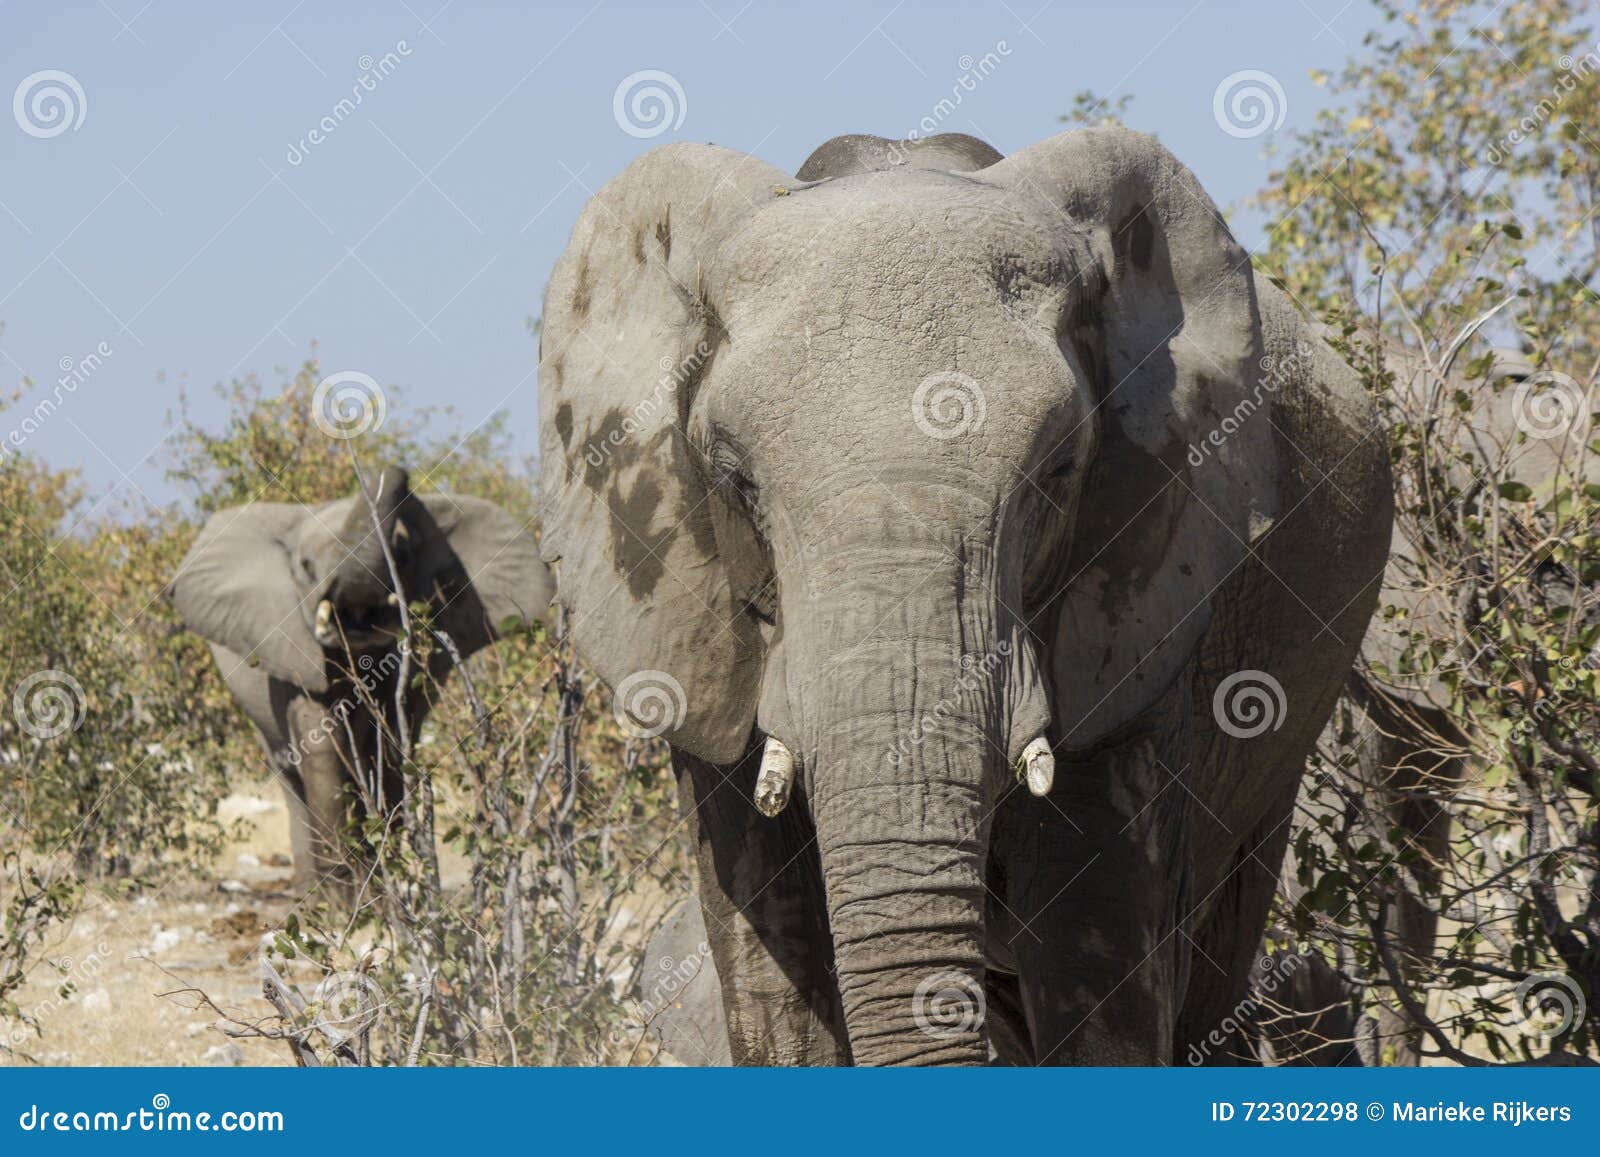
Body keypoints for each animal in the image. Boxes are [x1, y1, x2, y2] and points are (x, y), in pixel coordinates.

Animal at [170, 465, 554, 893]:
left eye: (402, 558)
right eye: (306, 566)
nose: (396, 473)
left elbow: (390, 748)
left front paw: (378, 887)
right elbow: (321, 745)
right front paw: (347, 898)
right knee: (290, 781)